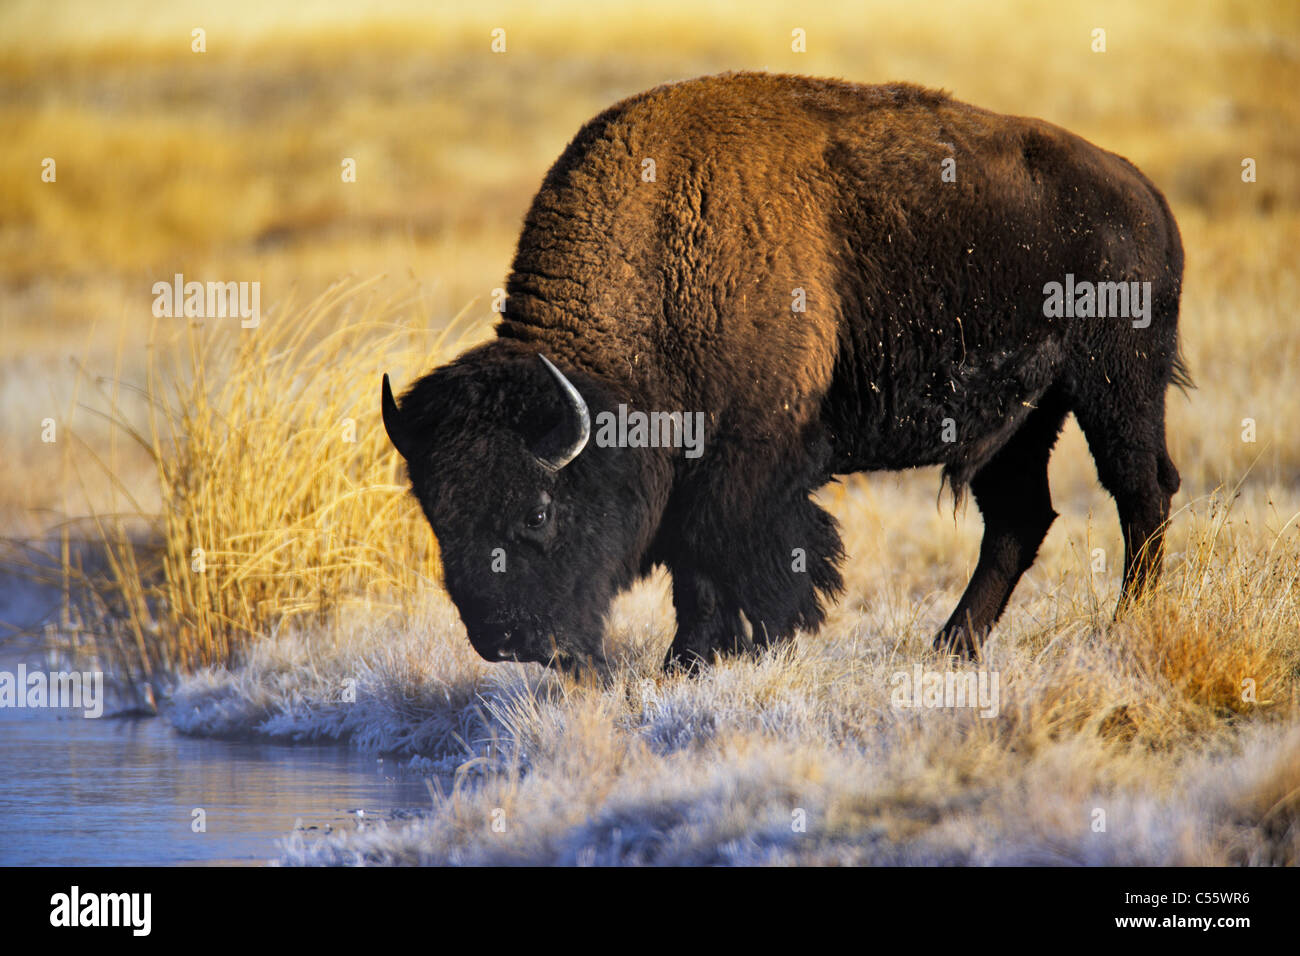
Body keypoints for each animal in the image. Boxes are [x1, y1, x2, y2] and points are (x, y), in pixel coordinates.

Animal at [381, 72, 1187, 672]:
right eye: (437, 517)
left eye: (539, 512)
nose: (507, 644)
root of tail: (1145, 196)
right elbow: (696, 568)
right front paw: (701, 658)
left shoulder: (745, 467)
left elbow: (731, 562)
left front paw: (717, 654)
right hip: (1021, 422)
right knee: (1020, 519)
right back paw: (950, 647)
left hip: (1116, 388)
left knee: (1142, 492)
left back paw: (1126, 622)